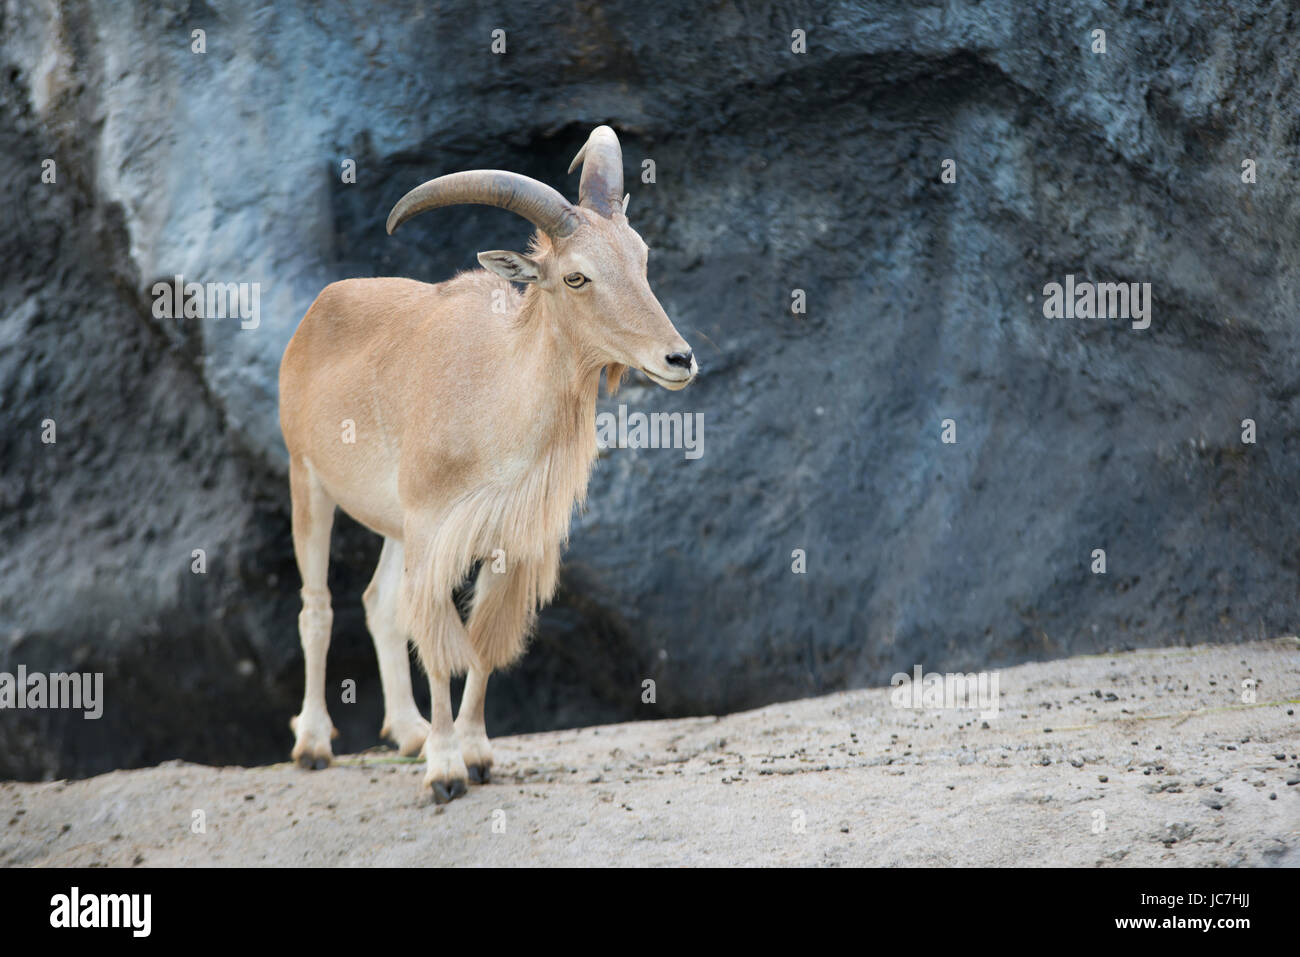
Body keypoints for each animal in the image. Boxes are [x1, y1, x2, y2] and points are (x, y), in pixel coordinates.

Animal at [277, 126, 697, 802]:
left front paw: (474, 753)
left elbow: (483, 641)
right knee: (318, 607)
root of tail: (321, 306)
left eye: (642, 258)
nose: (678, 358)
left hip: (394, 521)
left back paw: (409, 733)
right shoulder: (435, 530)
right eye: (576, 277)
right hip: (307, 477)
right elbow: (440, 642)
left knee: (379, 603)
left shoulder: (508, 539)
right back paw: (314, 744)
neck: (497, 402)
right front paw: (447, 770)